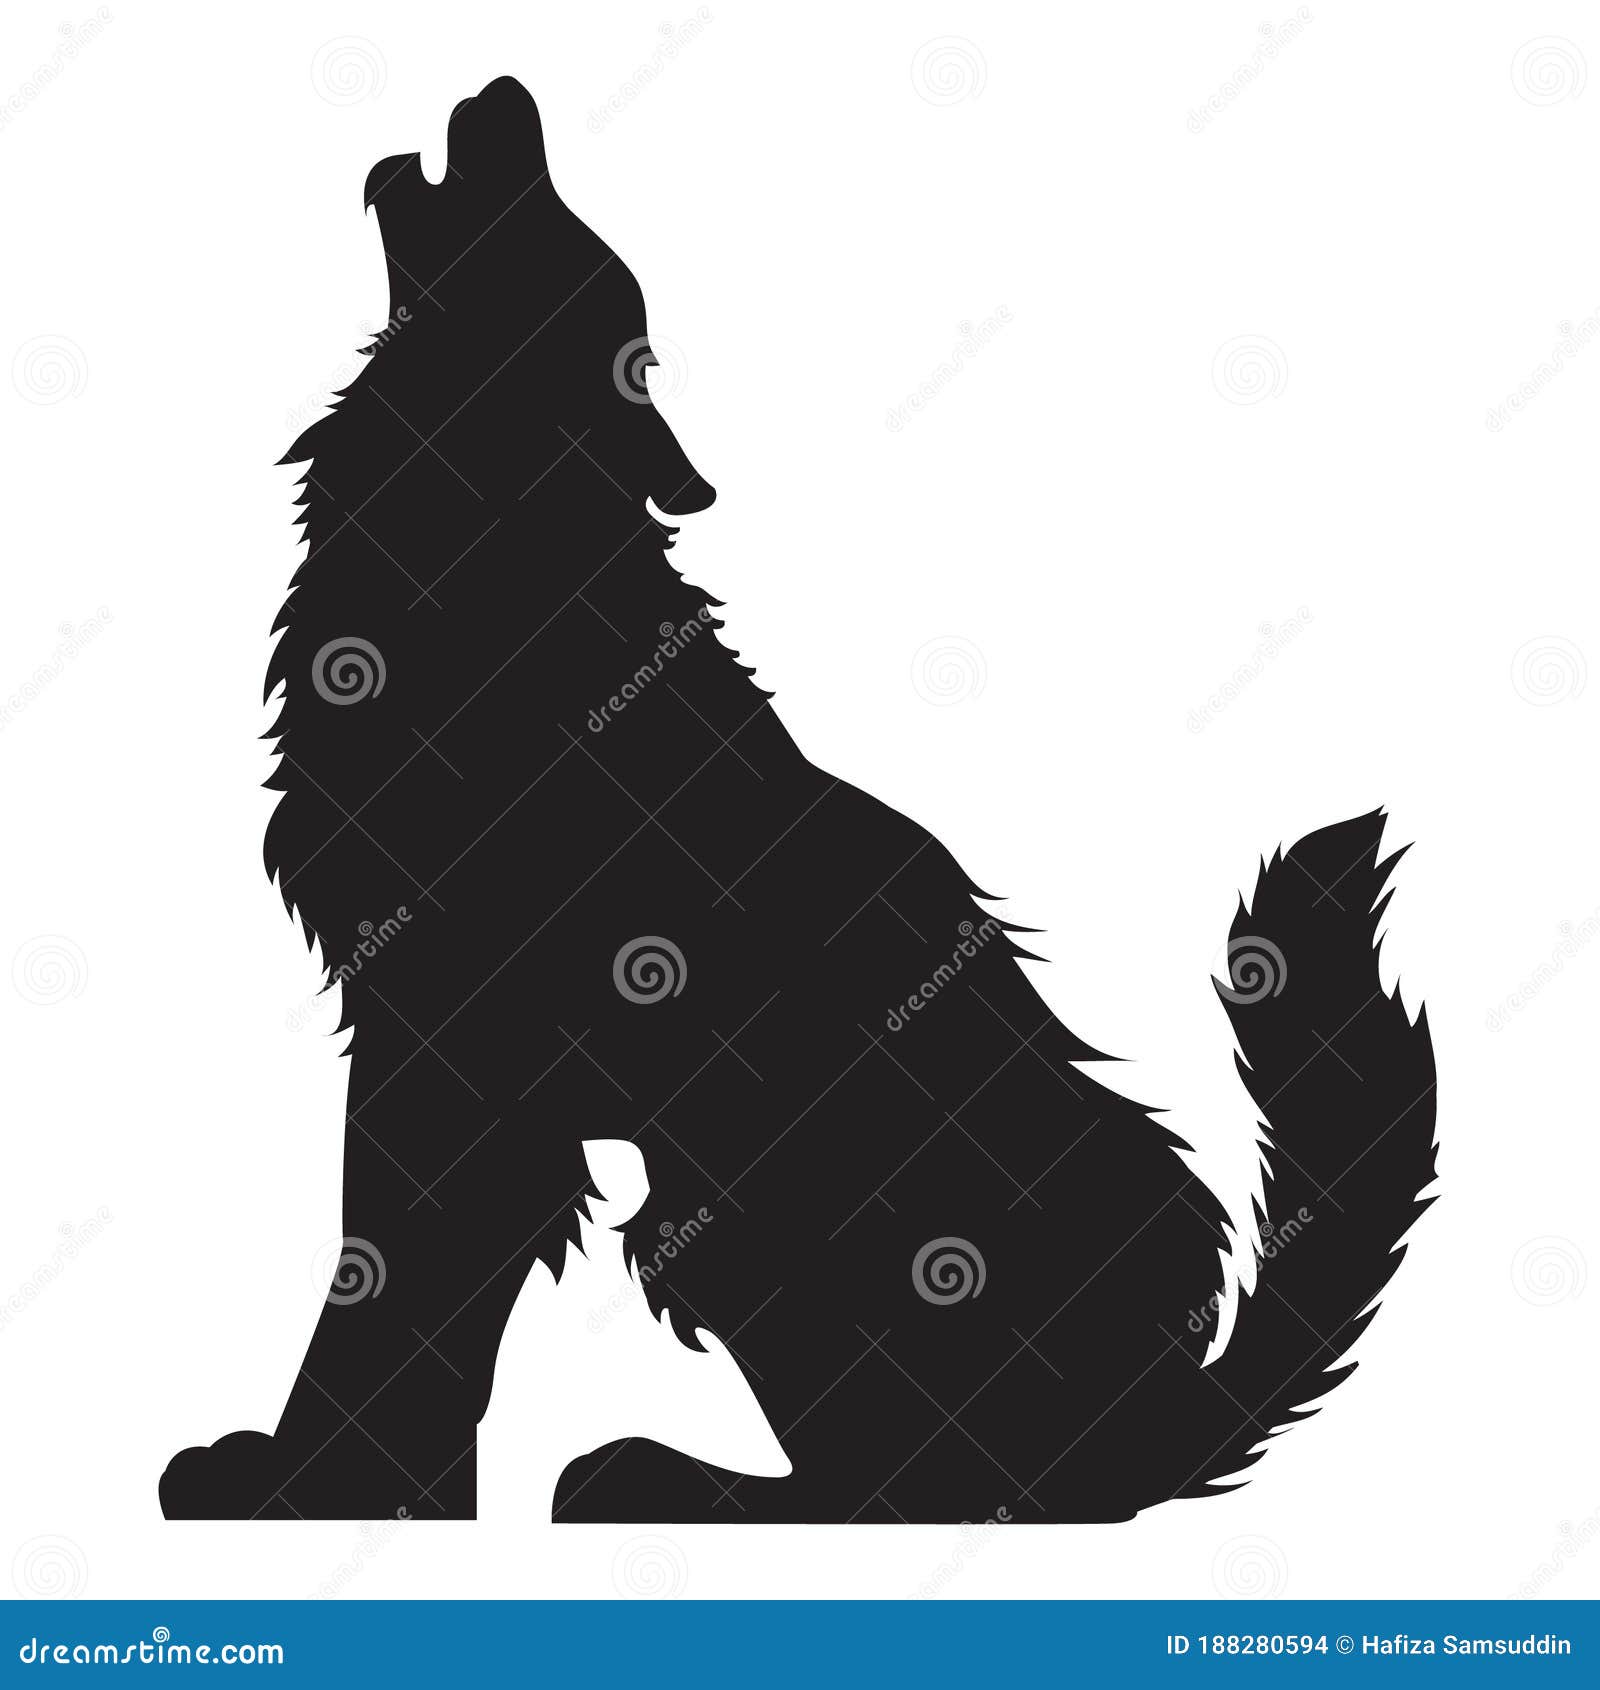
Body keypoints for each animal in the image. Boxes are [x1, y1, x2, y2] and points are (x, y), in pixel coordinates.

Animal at [160, 77, 1437, 1521]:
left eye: (561, 241)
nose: (510, 92)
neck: (492, 587)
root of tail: (1153, 1416)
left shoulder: (464, 1053)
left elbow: (383, 1294)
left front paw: (312, 1481)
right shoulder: (422, 1039)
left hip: (766, 1211)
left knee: (908, 1481)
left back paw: (657, 1479)